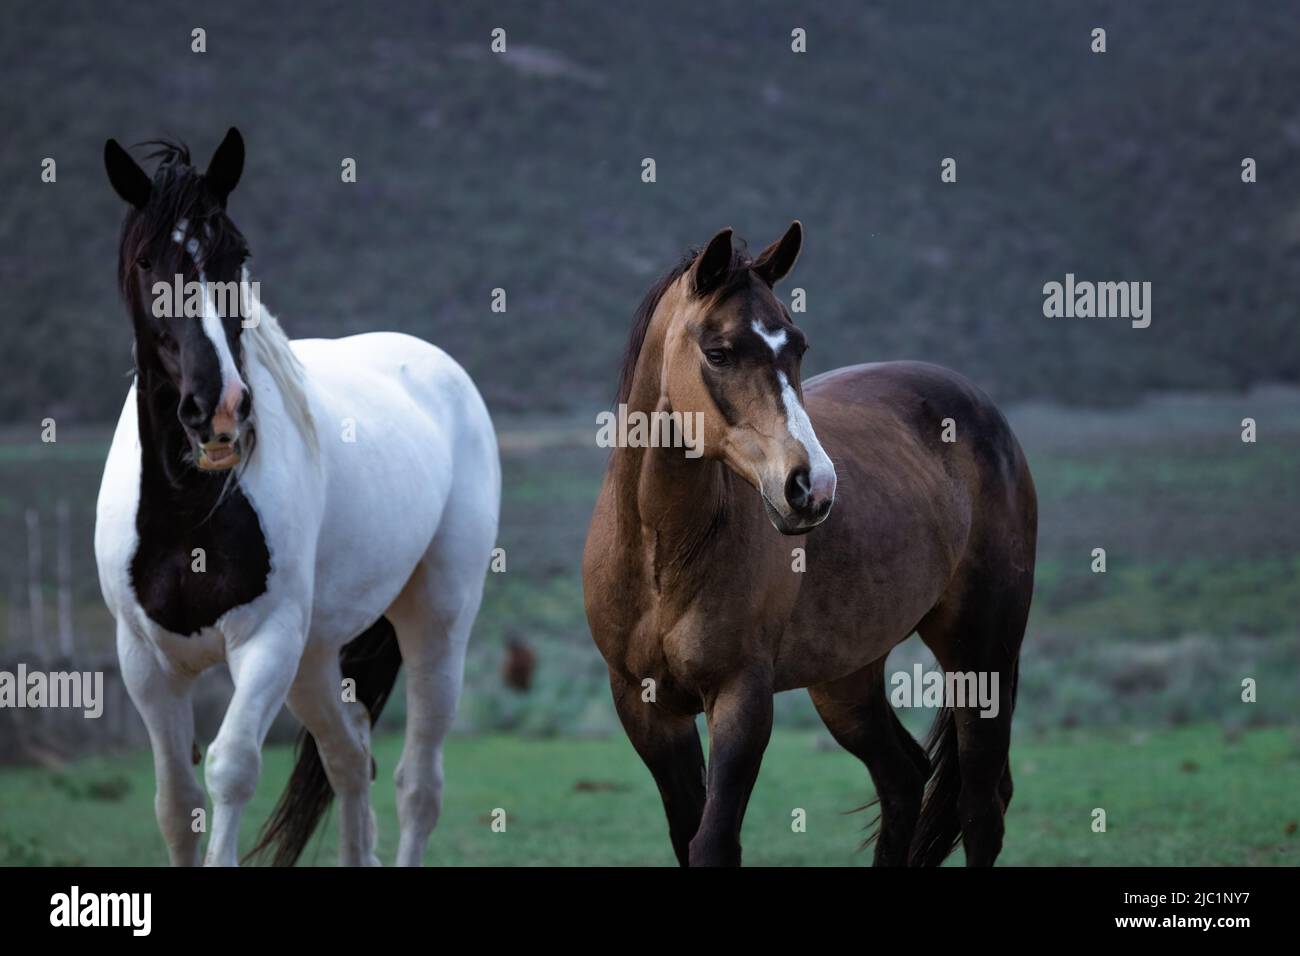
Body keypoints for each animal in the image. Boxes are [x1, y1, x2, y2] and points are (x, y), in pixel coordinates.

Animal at [94, 128, 500, 866]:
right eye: (146, 260)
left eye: (237, 254)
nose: (218, 410)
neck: (189, 510)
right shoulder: (144, 661)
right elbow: (176, 804)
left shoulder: (267, 640)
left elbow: (230, 769)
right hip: (314, 658)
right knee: (350, 756)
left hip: (436, 623)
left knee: (417, 783)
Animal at [582, 223, 1037, 866]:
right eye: (718, 352)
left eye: (796, 346)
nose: (812, 487)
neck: (661, 554)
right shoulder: (646, 712)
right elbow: (687, 837)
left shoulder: (741, 700)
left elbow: (713, 842)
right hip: (847, 681)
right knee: (903, 778)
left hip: (980, 657)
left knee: (979, 809)